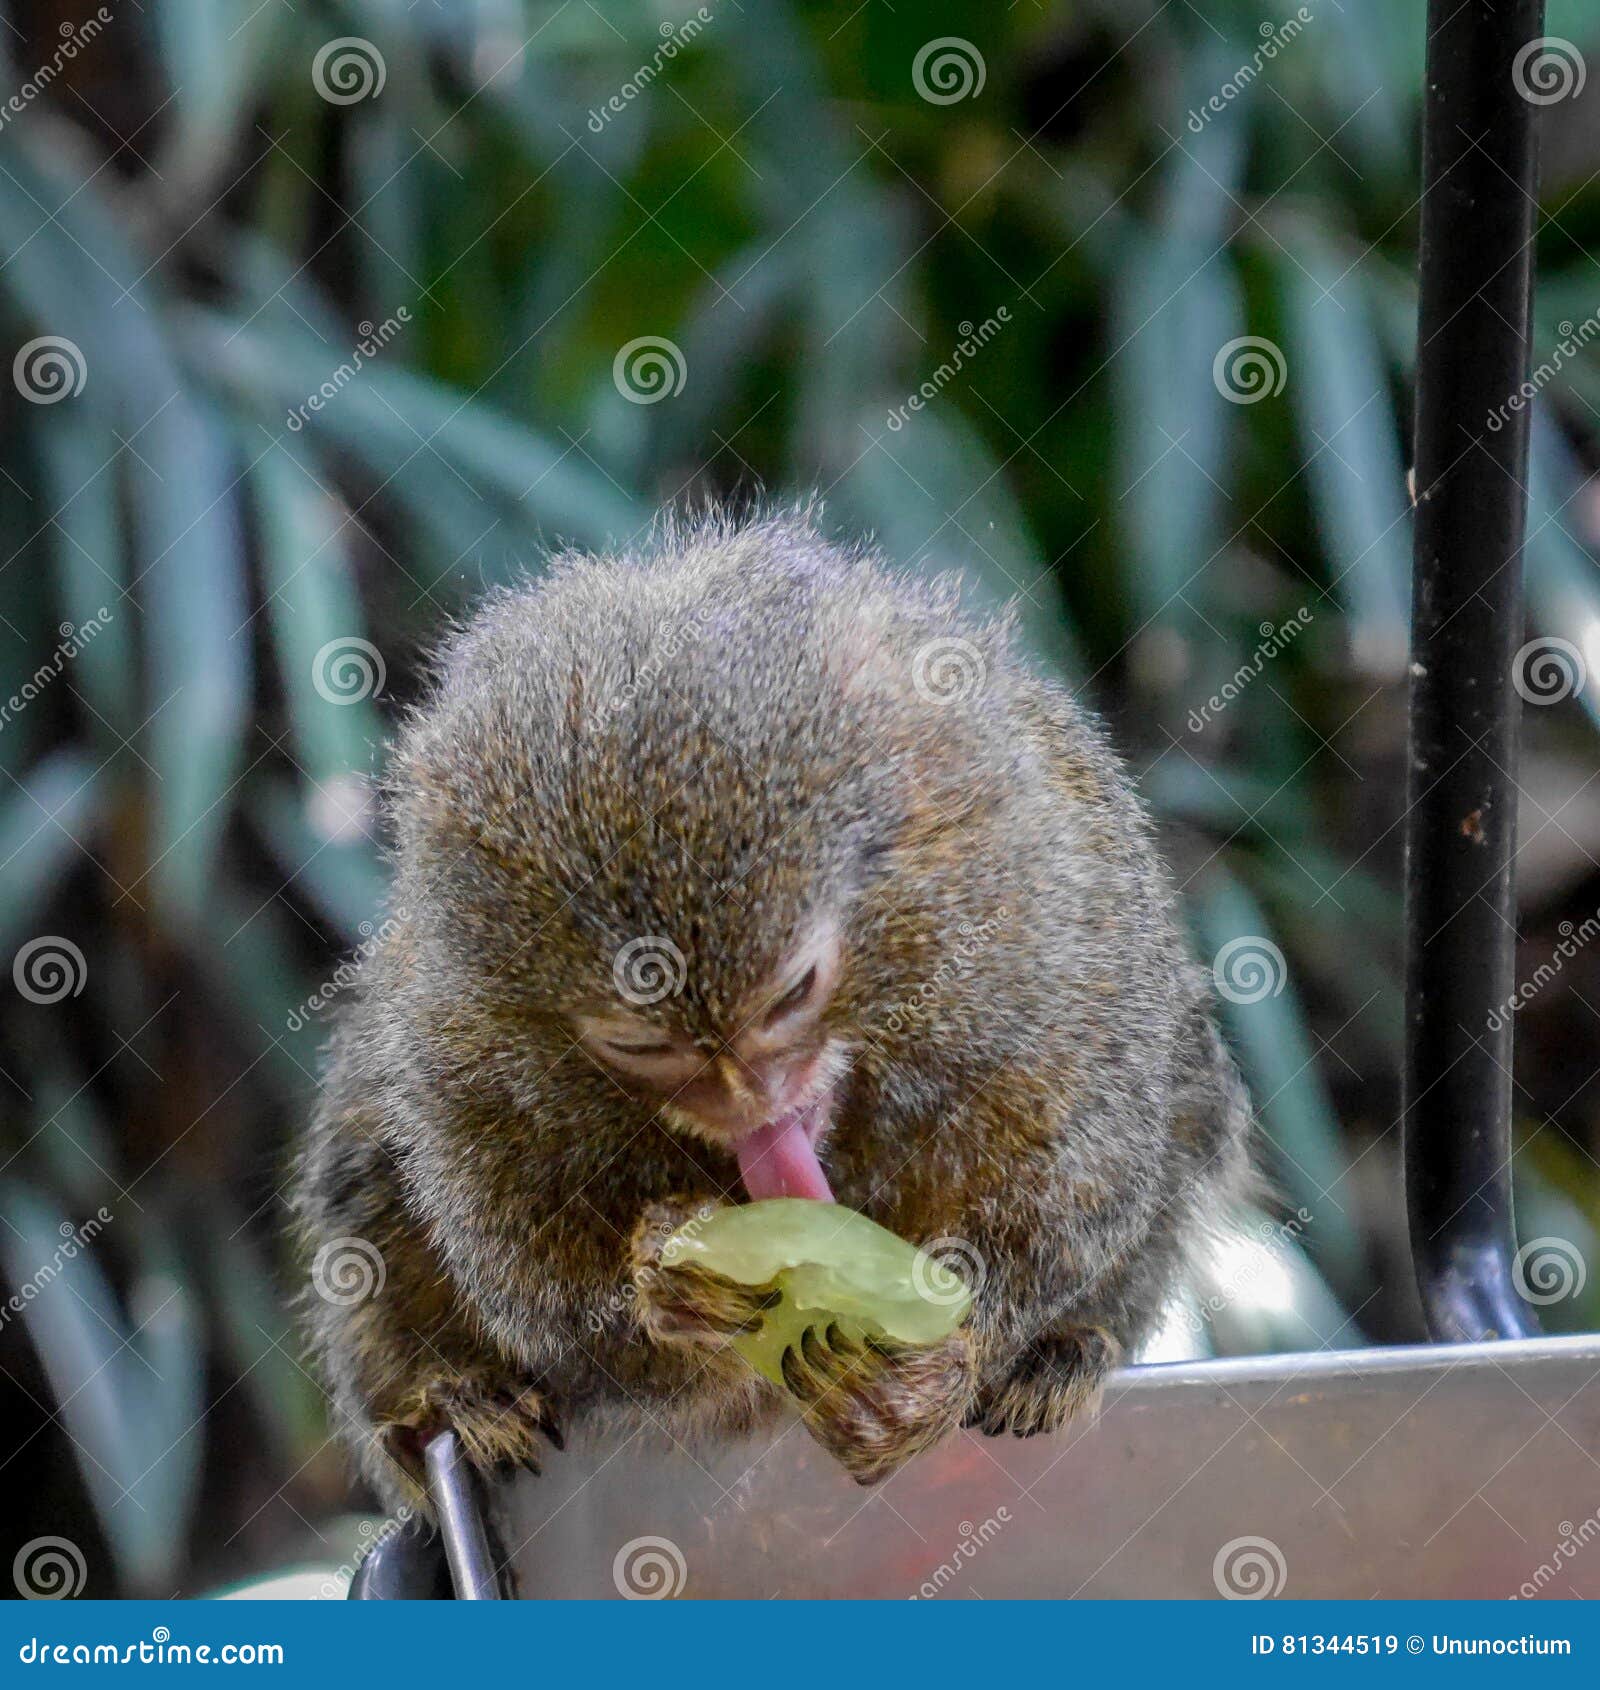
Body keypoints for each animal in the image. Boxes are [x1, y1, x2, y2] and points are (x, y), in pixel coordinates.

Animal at [291, 508, 1251, 1513]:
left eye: (791, 995)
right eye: (641, 1046)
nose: (750, 1099)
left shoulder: (1047, 935)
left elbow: (1076, 1179)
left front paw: (936, 1370)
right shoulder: (461, 1054)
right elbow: (540, 1296)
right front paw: (665, 1282)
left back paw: (1060, 1357)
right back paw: (446, 1408)